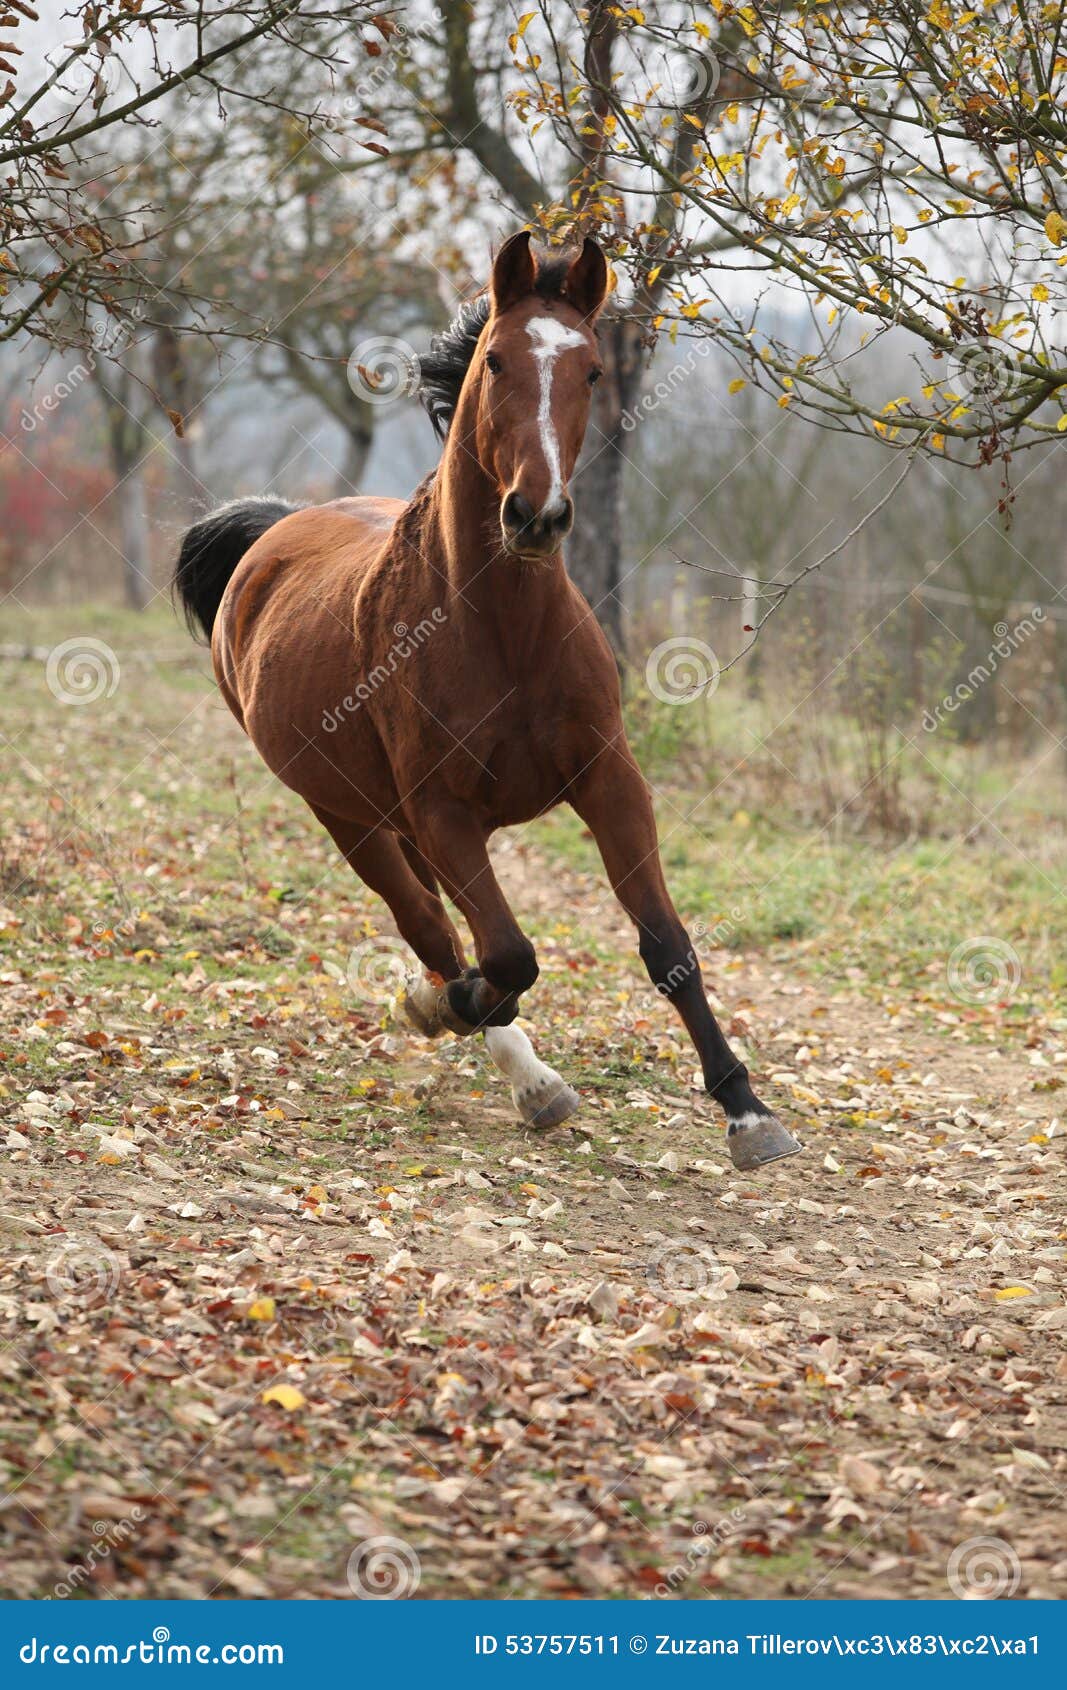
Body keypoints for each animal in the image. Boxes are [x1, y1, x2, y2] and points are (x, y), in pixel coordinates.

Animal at [174, 231, 800, 1173]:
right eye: (497, 359)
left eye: (590, 371)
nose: (535, 516)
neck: (501, 635)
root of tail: (272, 532)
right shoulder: (443, 810)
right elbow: (506, 955)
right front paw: (449, 1008)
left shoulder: (609, 780)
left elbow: (665, 945)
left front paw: (746, 1110)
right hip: (350, 815)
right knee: (431, 926)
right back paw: (505, 1057)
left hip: (398, 819)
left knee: (447, 925)